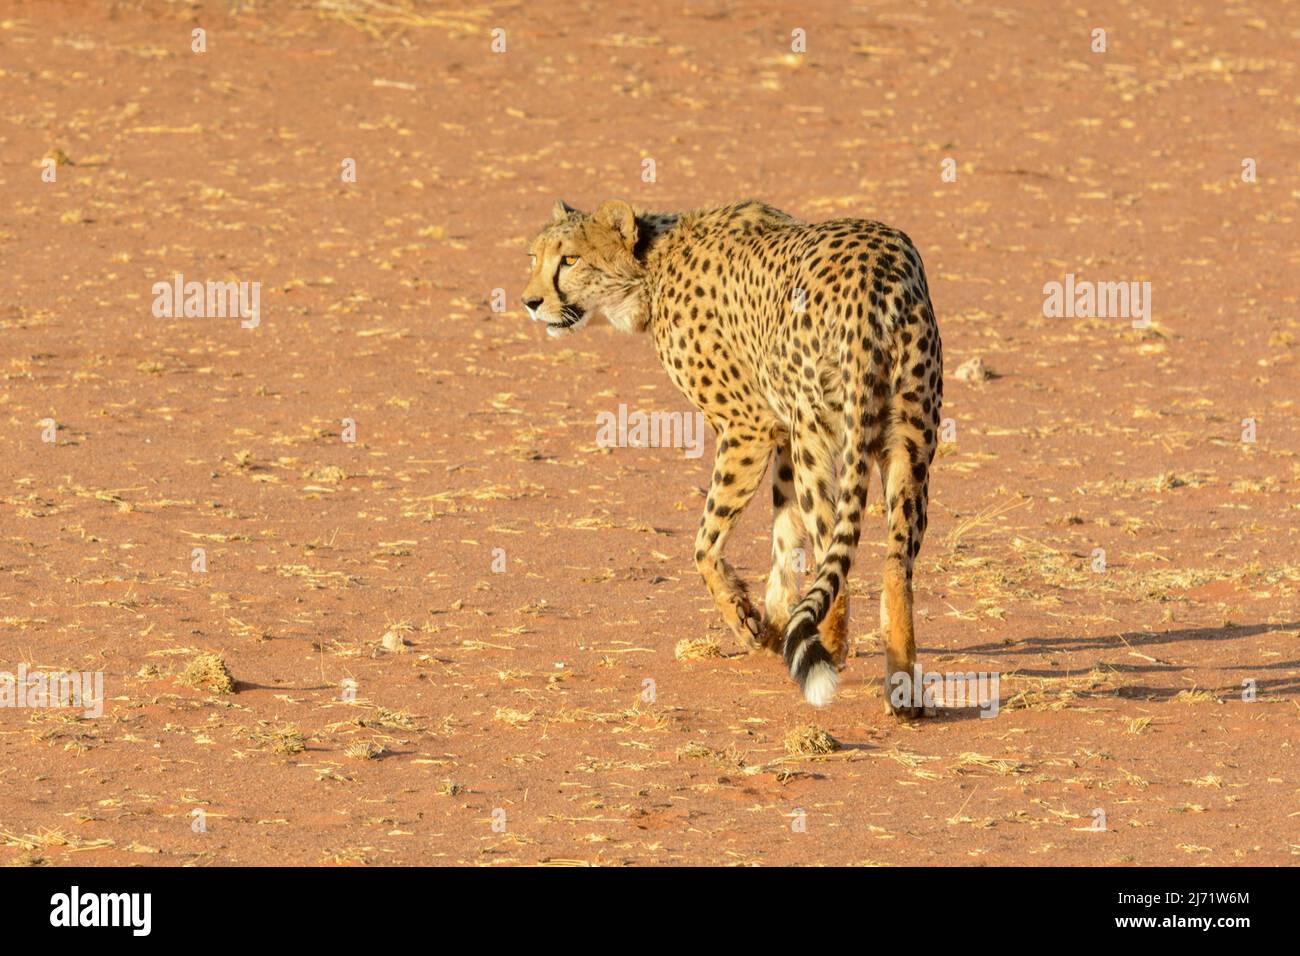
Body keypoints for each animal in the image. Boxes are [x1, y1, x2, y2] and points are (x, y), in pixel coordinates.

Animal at [522, 198, 942, 714]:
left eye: (570, 259)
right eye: (534, 258)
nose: (530, 302)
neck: (653, 263)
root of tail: (875, 271)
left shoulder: (748, 428)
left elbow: (705, 542)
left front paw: (746, 619)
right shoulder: (782, 432)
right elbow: (785, 534)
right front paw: (774, 623)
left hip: (821, 436)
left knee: (832, 541)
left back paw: (834, 644)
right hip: (908, 440)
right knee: (895, 563)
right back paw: (903, 690)